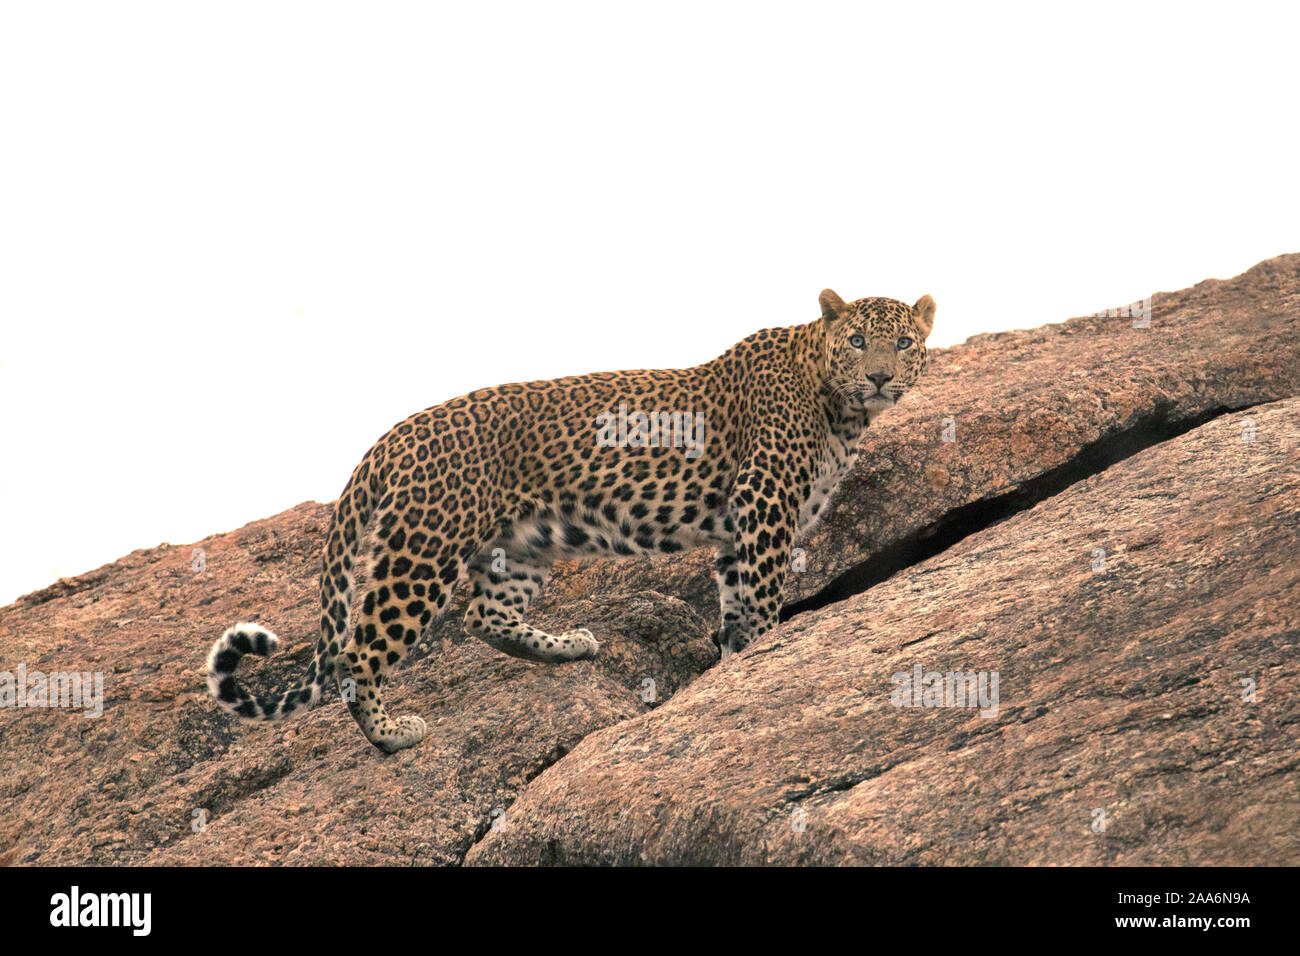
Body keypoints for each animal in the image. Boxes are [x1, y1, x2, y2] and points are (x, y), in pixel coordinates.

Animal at [206, 288, 936, 752]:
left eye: (904, 343)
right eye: (857, 341)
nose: (879, 378)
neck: (839, 406)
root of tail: (391, 437)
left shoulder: (736, 527)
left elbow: (734, 604)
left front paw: (733, 663)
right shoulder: (763, 505)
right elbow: (760, 599)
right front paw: (762, 652)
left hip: (520, 547)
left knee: (483, 615)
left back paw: (568, 645)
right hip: (424, 553)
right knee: (362, 649)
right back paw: (392, 735)